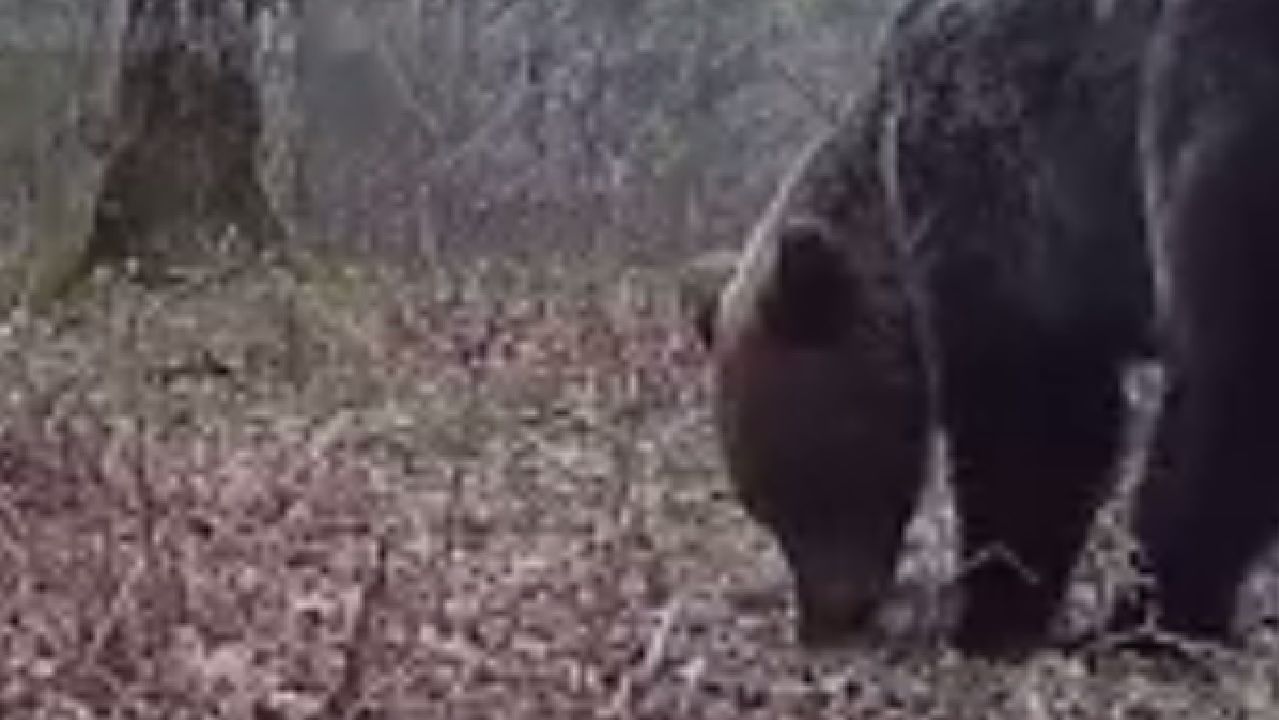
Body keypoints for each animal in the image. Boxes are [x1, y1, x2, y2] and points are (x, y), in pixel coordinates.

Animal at [703, 0, 1162, 657]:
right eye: (758, 507)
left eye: (798, 488)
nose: (824, 621)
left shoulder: (1004, 206)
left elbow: (1041, 425)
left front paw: (988, 618)